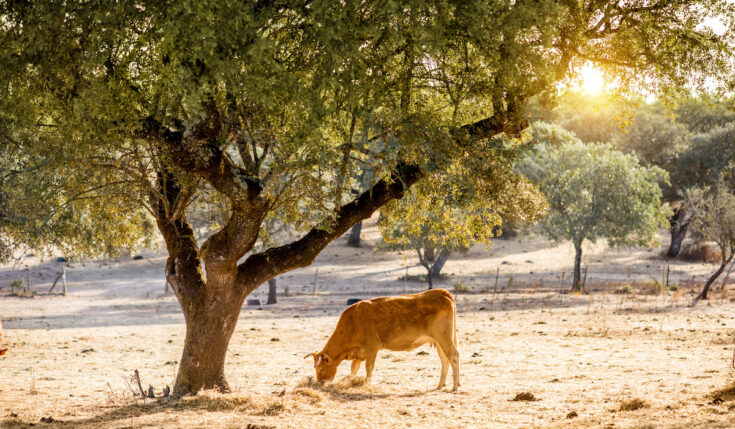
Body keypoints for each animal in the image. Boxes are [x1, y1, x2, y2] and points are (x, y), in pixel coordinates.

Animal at [305, 289, 459, 391]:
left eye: (321, 369)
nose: (319, 383)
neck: (353, 322)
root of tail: (441, 293)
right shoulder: (359, 353)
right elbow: (354, 369)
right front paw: (351, 381)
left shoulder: (371, 348)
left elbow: (369, 368)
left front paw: (367, 384)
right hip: (439, 341)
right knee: (444, 360)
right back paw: (440, 385)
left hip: (444, 338)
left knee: (453, 356)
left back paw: (455, 386)